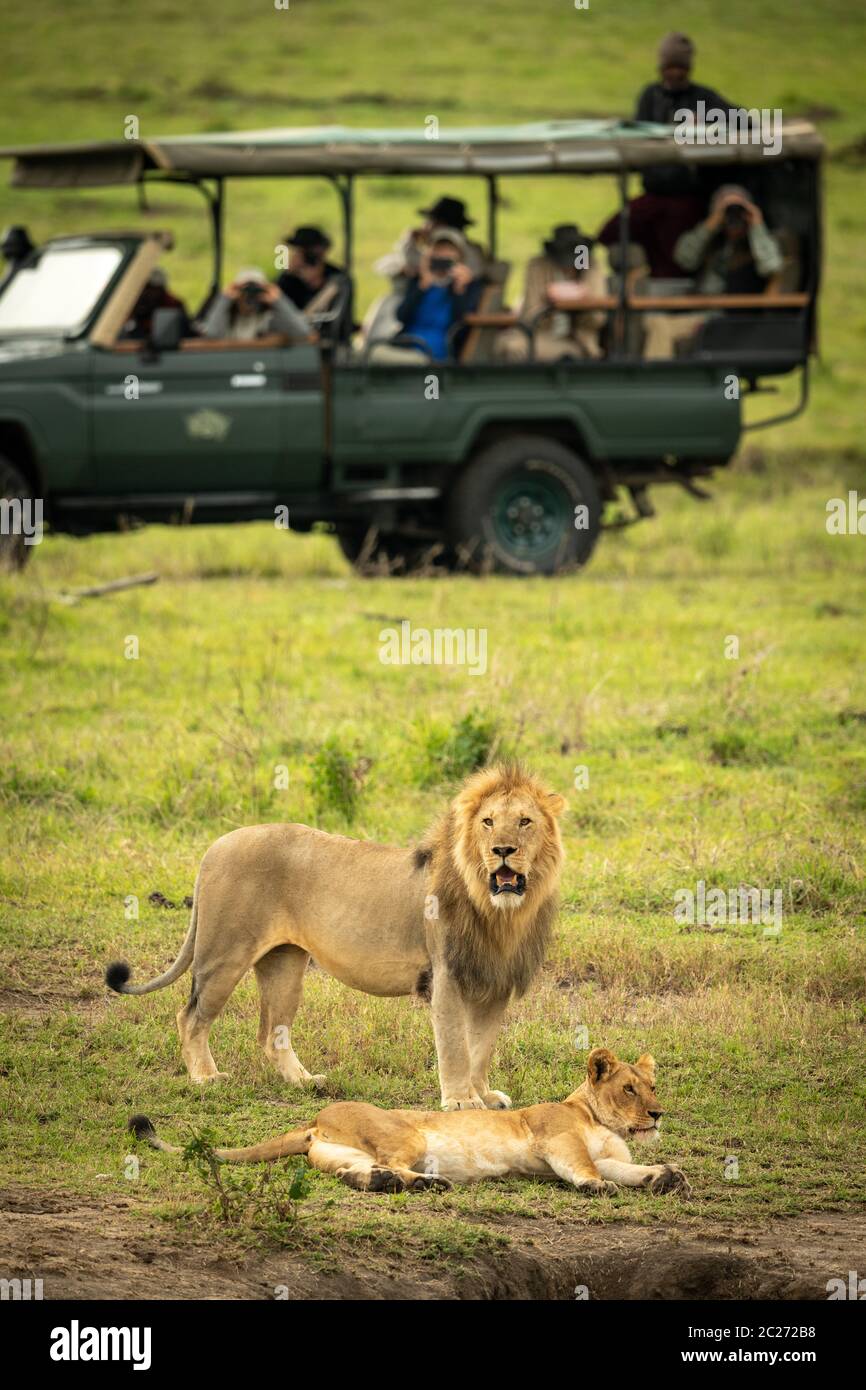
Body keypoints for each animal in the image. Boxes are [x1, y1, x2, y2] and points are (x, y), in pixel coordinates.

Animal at [105, 763, 566, 1111]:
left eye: (524, 821)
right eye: (488, 822)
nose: (502, 850)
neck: (501, 913)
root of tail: (214, 846)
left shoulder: (495, 983)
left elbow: (481, 1047)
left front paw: (483, 1095)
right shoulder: (447, 975)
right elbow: (455, 1045)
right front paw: (460, 1101)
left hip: (284, 964)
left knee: (271, 1034)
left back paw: (305, 1082)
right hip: (223, 954)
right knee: (191, 1016)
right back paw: (206, 1078)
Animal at [128, 1048, 690, 1197]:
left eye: (653, 1085)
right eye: (629, 1088)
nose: (658, 1113)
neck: (603, 1122)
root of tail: (316, 1117)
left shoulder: (609, 1154)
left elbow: (631, 1171)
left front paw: (666, 1176)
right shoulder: (554, 1140)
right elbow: (586, 1170)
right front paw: (599, 1188)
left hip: (341, 1153)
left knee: (355, 1174)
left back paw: (385, 1182)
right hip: (409, 1135)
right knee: (397, 1164)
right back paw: (427, 1183)